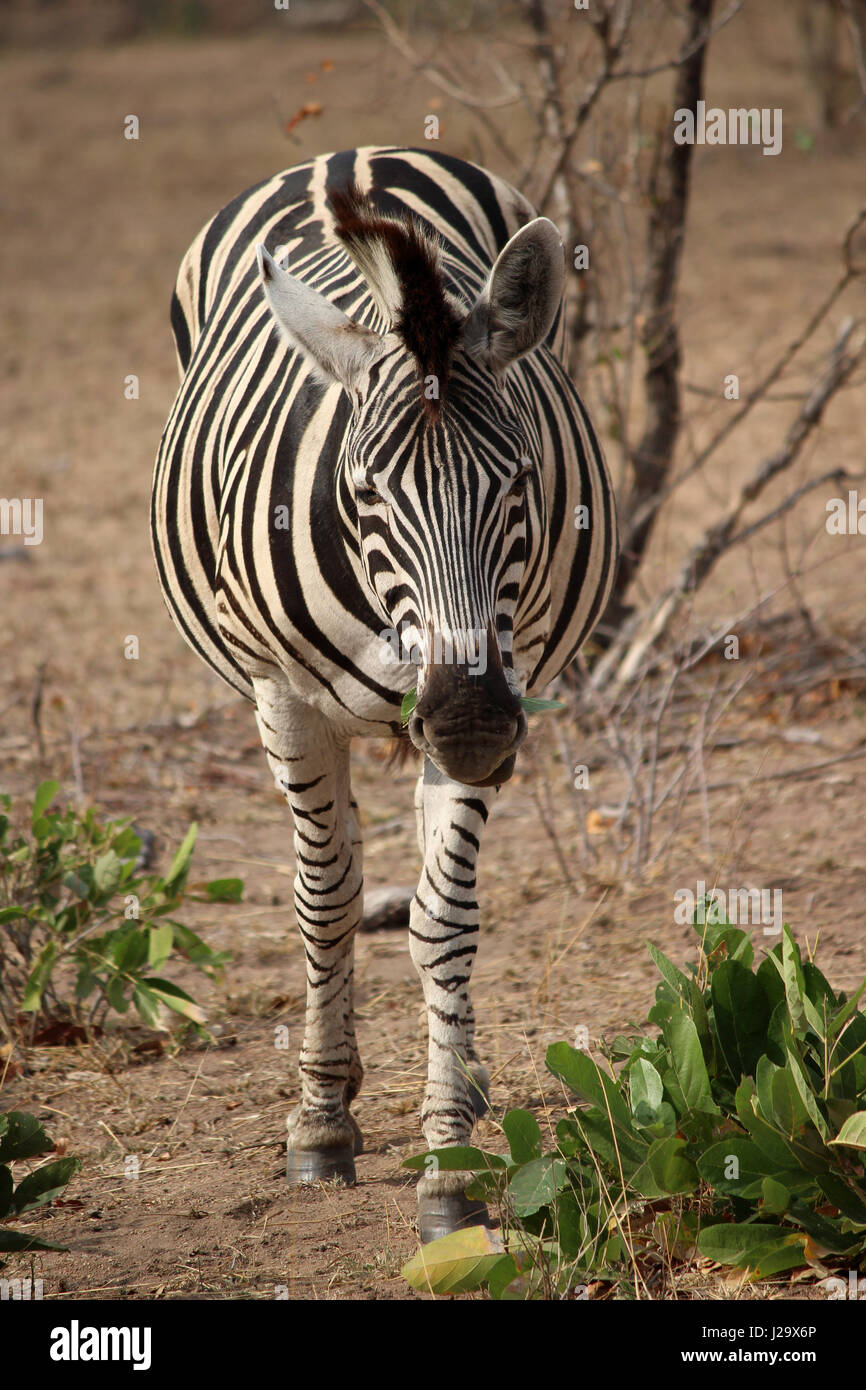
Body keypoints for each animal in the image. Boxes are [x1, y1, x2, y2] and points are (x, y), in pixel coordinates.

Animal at [152, 146, 617, 1241]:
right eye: (364, 491)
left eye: (520, 480)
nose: (472, 722)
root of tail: (349, 156)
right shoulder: (283, 697)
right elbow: (325, 902)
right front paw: (321, 1123)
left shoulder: (502, 677)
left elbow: (442, 921)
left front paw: (448, 1163)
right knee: (341, 865)